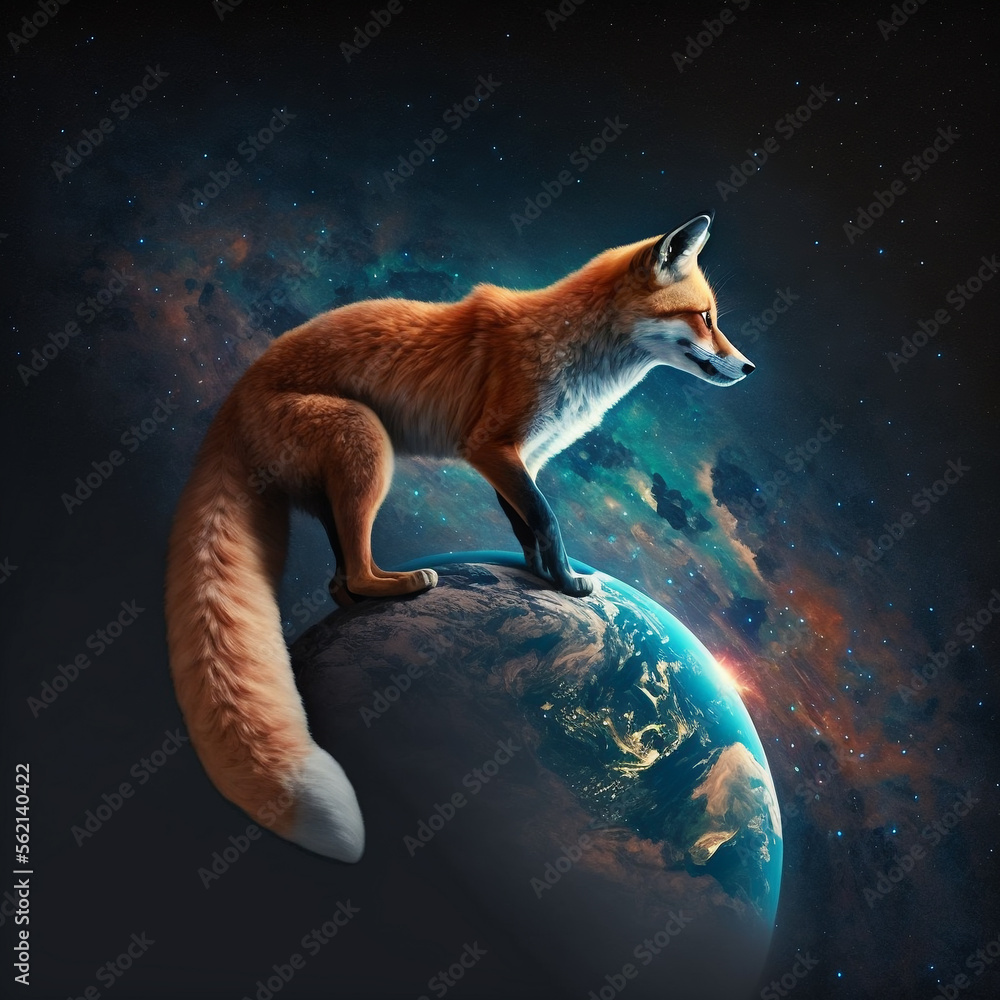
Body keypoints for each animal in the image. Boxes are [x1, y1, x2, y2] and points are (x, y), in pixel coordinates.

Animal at [164, 213, 754, 863]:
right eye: (704, 317)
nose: (749, 368)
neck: (575, 353)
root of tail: (235, 396)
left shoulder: (525, 460)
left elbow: (527, 527)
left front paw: (546, 578)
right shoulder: (493, 448)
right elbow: (547, 519)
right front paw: (570, 584)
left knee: (339, 583)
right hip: (368, 442)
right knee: (353, 575)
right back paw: (400, 584)